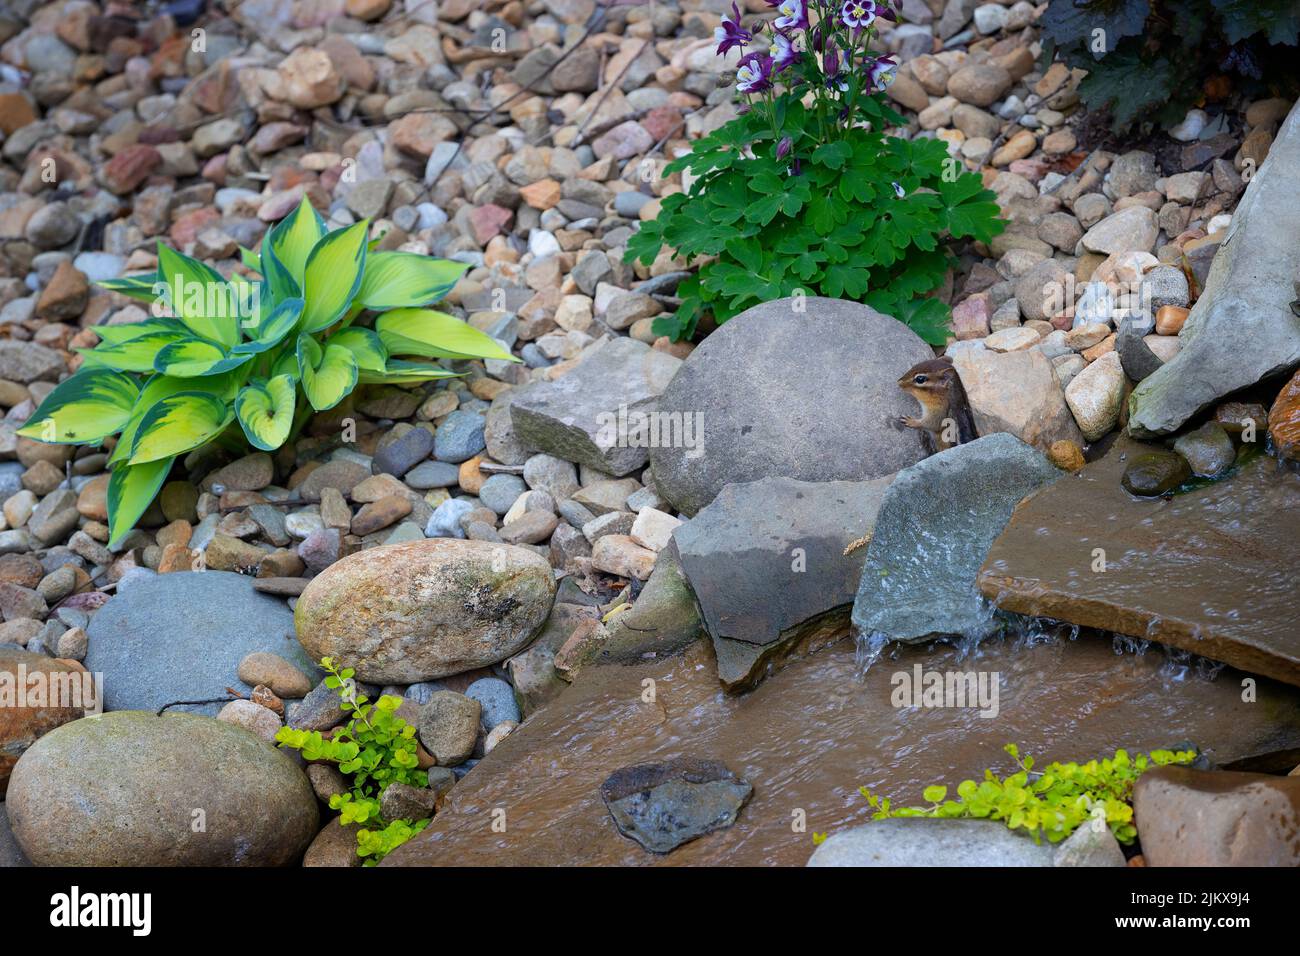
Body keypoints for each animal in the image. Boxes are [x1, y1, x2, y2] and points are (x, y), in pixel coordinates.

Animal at [844, 357, 978, 557]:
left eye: (920, 379)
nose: (899, 381)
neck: (948, 394)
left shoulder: (938, 413)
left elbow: (928, 423)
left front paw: (912, 421)